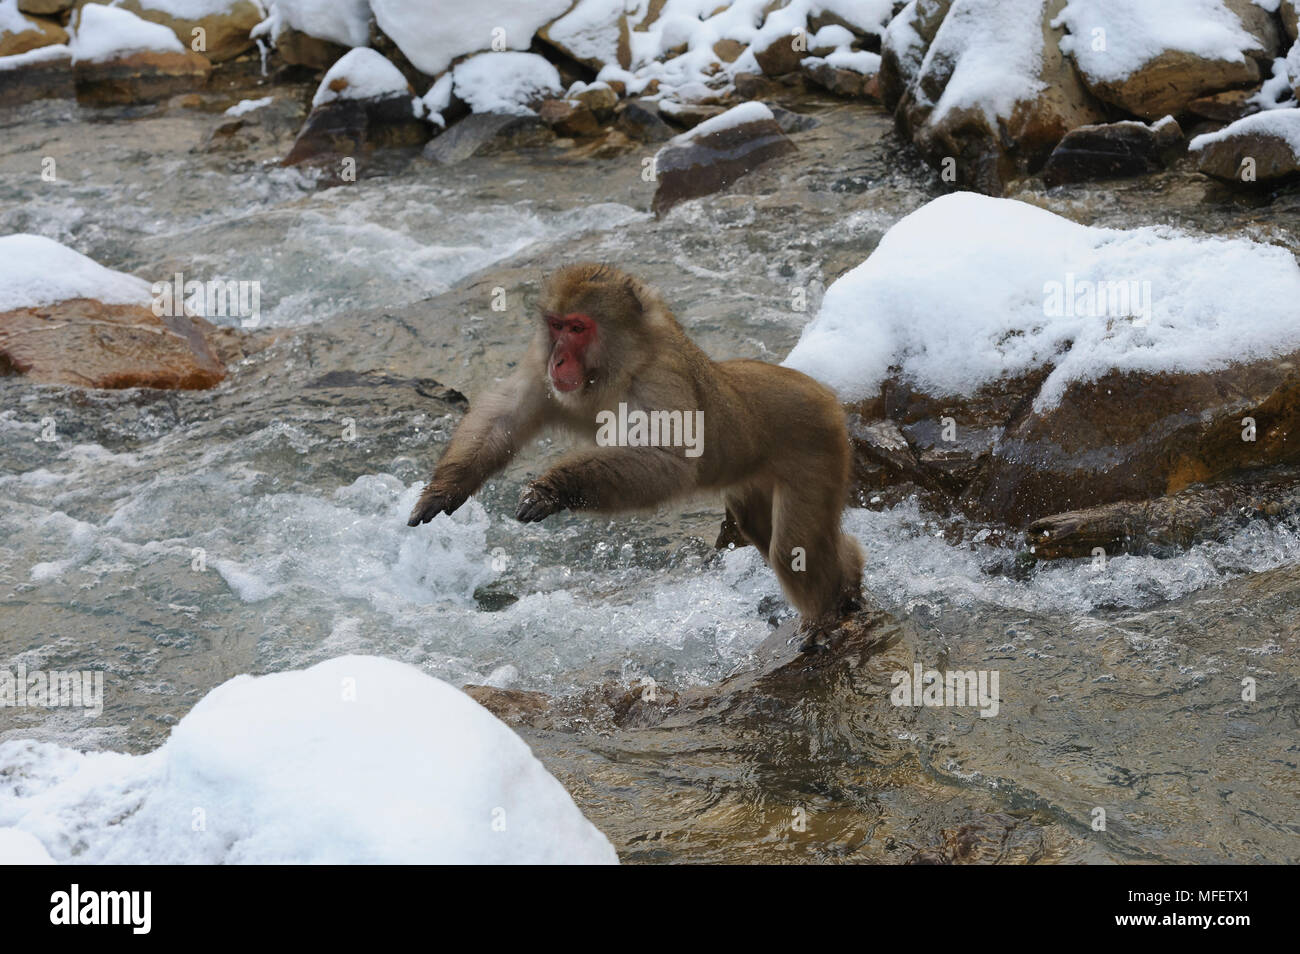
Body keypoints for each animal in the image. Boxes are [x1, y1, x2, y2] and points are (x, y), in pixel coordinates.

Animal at [407, 263, 864, 624]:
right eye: (556, 325)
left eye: (578, 327)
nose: (558, 359)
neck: (616, 365)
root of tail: (822, 390)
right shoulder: (542, 368)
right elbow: (505, 413)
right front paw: (446, 488)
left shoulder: (659, 379)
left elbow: (670, 463)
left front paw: (551, 488)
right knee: (760, 528)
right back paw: (851, 581)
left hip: (818, 445)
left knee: (792, 550)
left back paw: (832, 612)